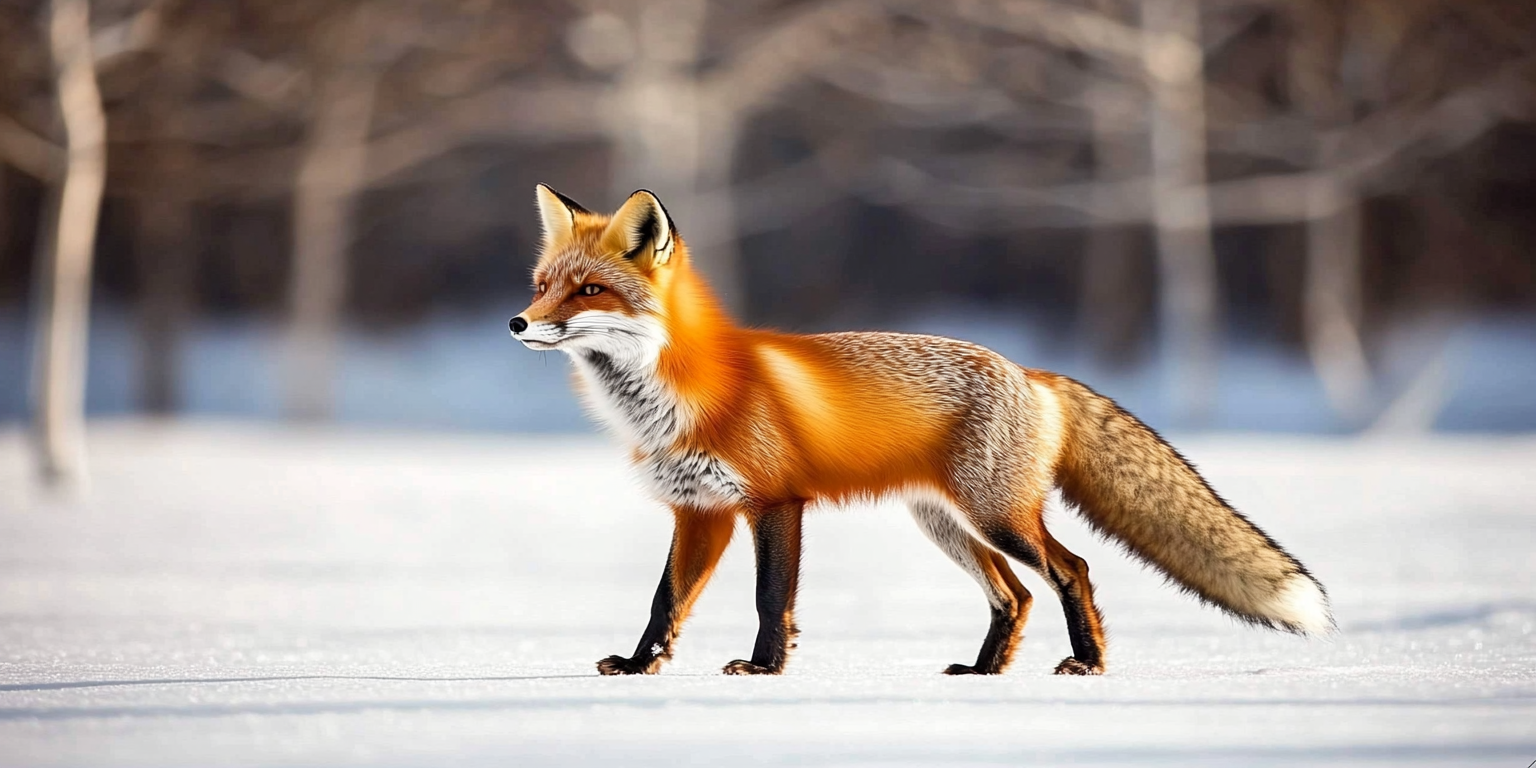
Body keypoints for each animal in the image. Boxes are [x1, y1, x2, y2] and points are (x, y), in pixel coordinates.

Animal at [509, 185, 1333, 677]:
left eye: (590, 289)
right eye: (544, 285)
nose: (517, 322)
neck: (676, 397)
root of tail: (1034, 373)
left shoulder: (774, 503)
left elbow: (770, 600)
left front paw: (765, 668)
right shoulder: (699, 511)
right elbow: (665, 604)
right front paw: (639, 668)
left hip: (997, 518)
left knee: (1070, 570)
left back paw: (1088, 663)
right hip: (944, 523)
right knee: (1015, 597)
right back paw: (985, 673)